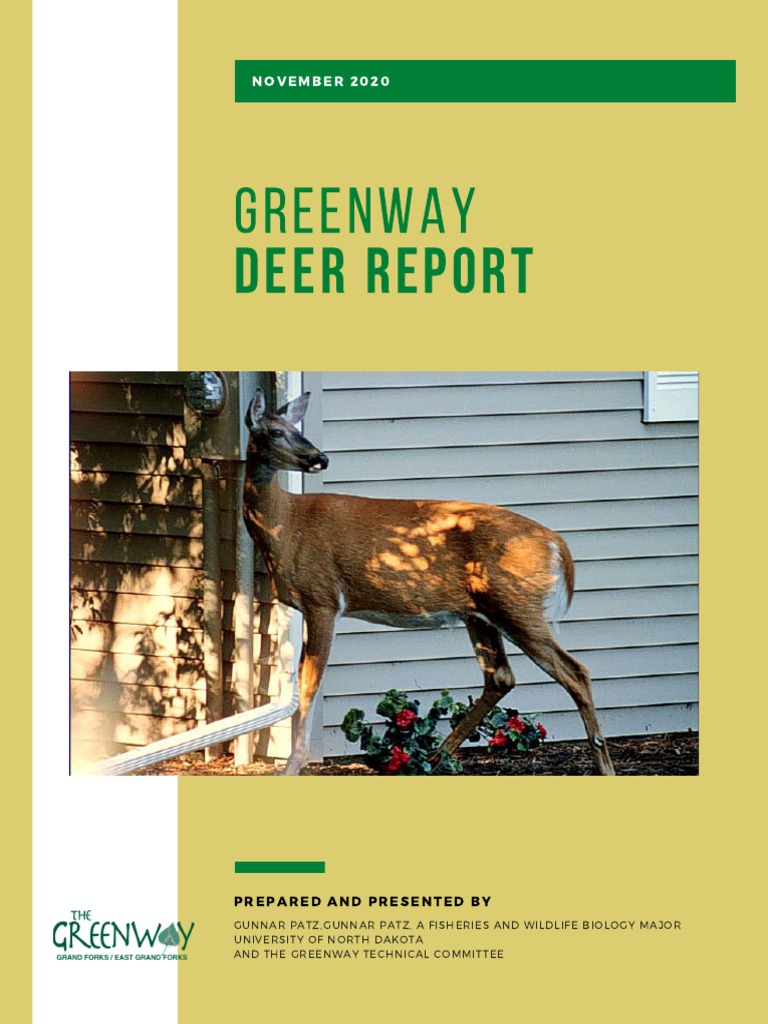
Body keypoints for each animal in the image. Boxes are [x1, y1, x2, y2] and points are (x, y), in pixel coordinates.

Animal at [242, 387, 616, 776]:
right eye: (276, 431)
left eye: (293, 428)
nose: (320, 458)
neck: (286, 526)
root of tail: (558, 545)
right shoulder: (311, 604)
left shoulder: (323, 599)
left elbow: (309, 685)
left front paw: (292, 765)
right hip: (480, 613)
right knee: (500, 676)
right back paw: (436, 756)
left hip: (517, 605)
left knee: (576, 672)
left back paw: (604, 766)